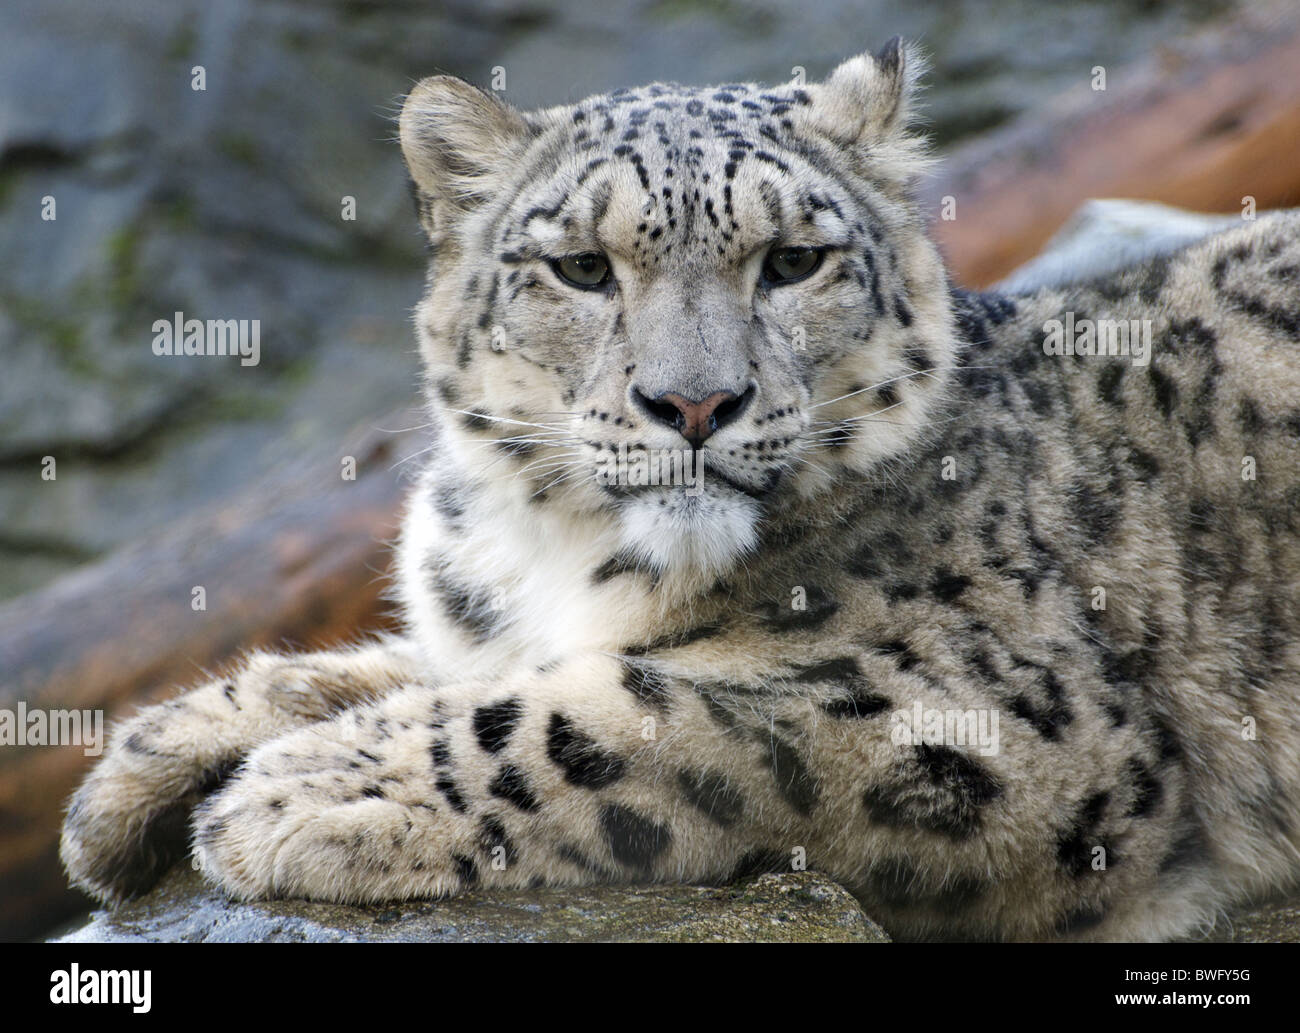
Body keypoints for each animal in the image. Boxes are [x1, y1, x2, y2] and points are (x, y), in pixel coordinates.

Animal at [60, 39, 1300, 942]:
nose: (695, 403)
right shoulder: (480, 629)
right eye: (580, 267)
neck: (554, 554)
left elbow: (613, 715)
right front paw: (136, 773)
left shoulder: (1010, 722)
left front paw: (310, 788)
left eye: (793, 260)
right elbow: (405, 666)